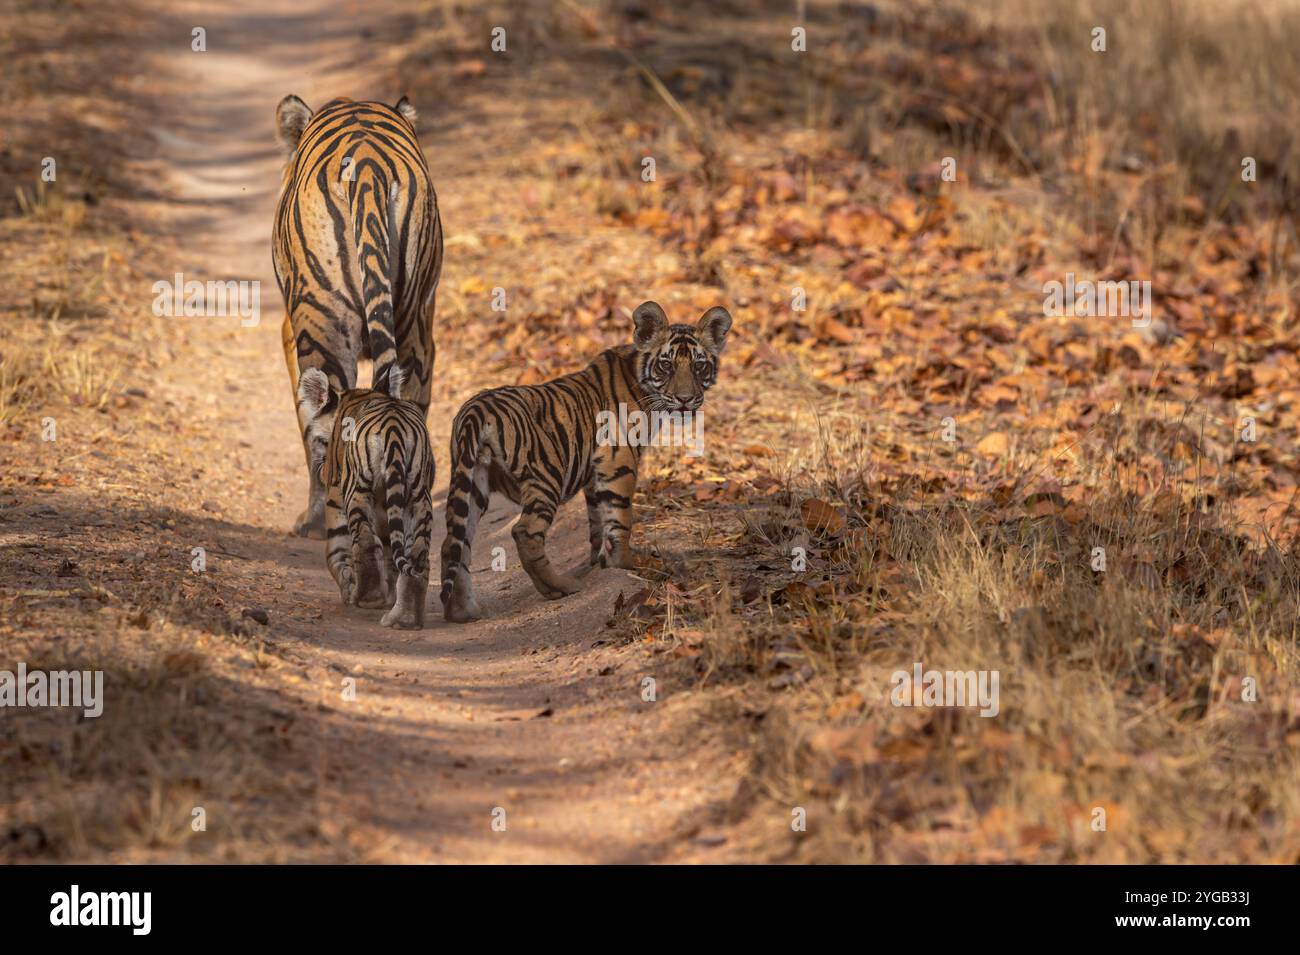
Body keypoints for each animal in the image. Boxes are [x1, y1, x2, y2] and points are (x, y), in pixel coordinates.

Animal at [272, 94, 443, 543]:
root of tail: (368, 164)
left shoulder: (291, 332)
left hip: (323, 328)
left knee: (324, 424)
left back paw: (319, 521)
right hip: (415, 326)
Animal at [297, 365, 435, 629]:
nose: (323, 470)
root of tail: (394, 430)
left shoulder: (336, 499)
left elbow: (338, 553)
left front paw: (350, 587)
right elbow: (390, 555)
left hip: (357, 490)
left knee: (365, 542)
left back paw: (367, 597)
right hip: (418, 497)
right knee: (417, 556)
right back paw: (404, 618)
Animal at [439, 301, 732, 623]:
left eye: (699, 365)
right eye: (666, 365)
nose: (685, 399)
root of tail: (476, 410)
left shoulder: (595, 472)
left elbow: (597, 521)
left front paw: (598, 560)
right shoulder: (619, 459)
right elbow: (620, 518)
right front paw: (625, 562)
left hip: (472, 481)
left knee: (453, 543)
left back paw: (461, 610)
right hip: (546, 475)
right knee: (524, 532)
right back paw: (561, 587)